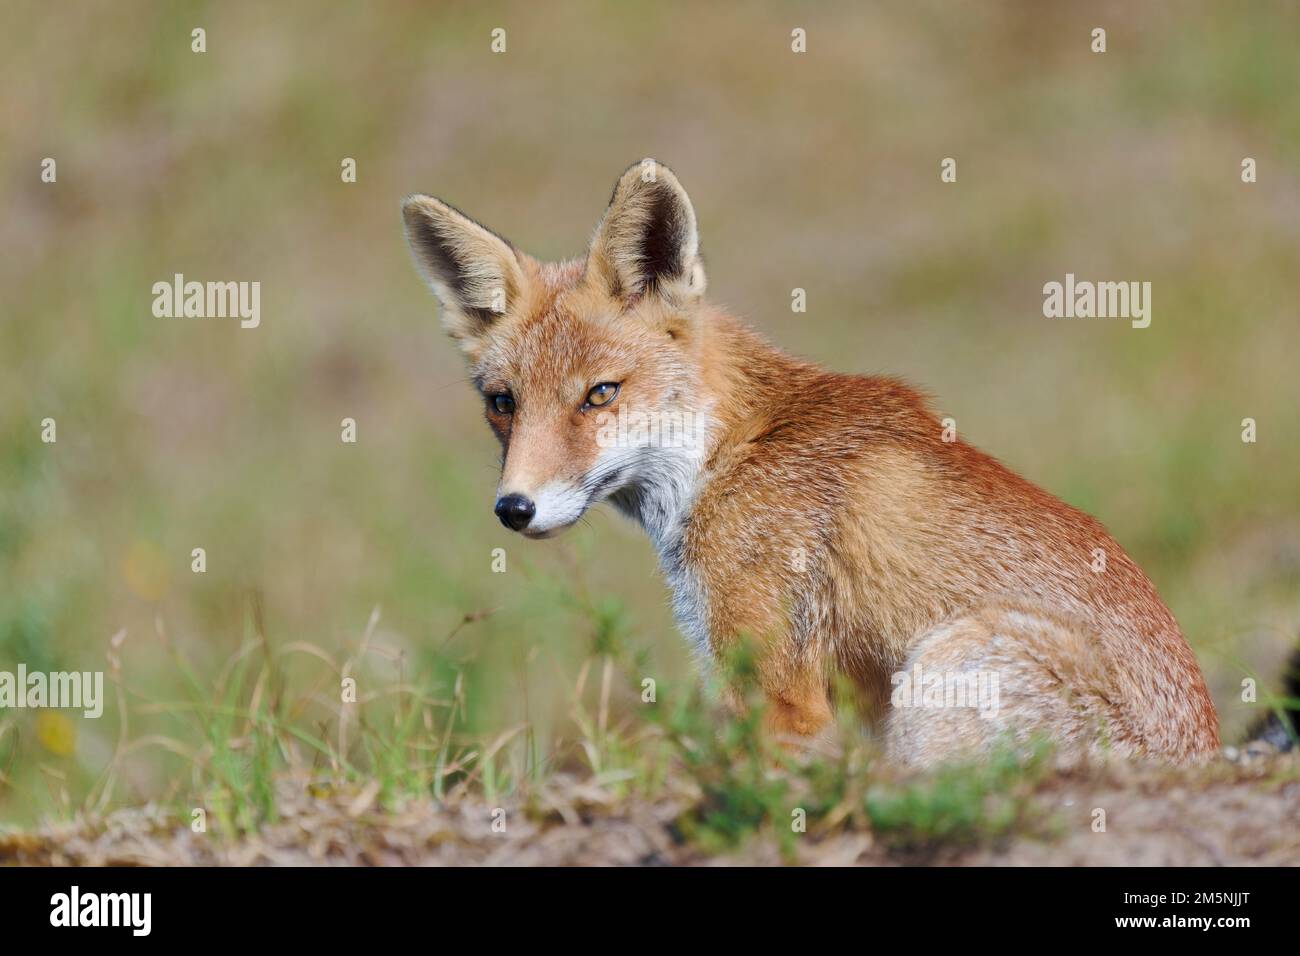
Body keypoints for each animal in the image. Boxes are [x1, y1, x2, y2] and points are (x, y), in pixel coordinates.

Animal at [401, 159, 1228, 767]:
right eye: (503, 403)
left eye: (600, 394)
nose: (515, 508)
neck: (732, 450)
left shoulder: (782, 696)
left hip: (949, 662)